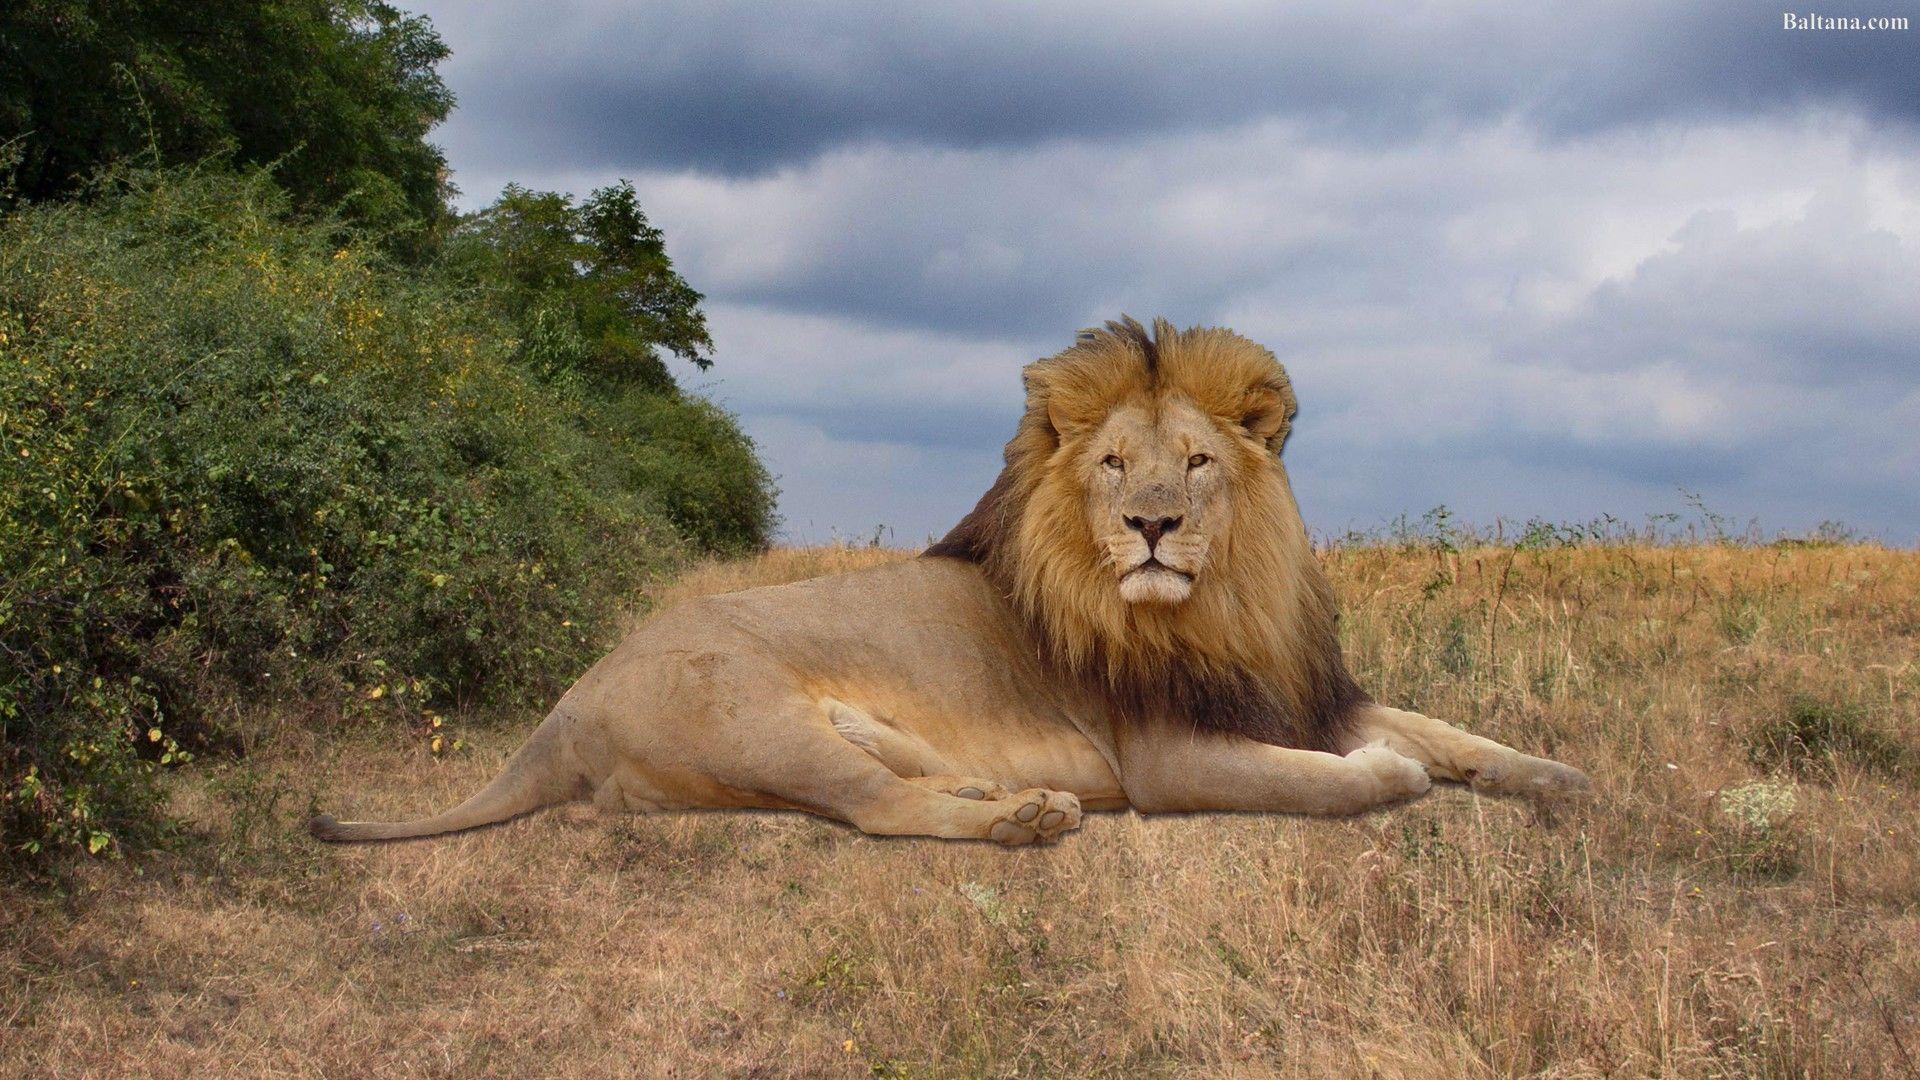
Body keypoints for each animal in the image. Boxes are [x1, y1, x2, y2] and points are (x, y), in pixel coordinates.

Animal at [312, 317, 1589, 846]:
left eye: (1197, 464)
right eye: (1114, 464)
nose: (1154, 526)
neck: (1227, 602)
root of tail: (566, 706)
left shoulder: (1305, 691)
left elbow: (1455, 732)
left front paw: (1558, 775)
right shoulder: (1169, 757)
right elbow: (1337, 779)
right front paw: (1389, 777)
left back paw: (1005, 792)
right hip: (760, 724)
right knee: (878, 813)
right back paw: (1025, 819)